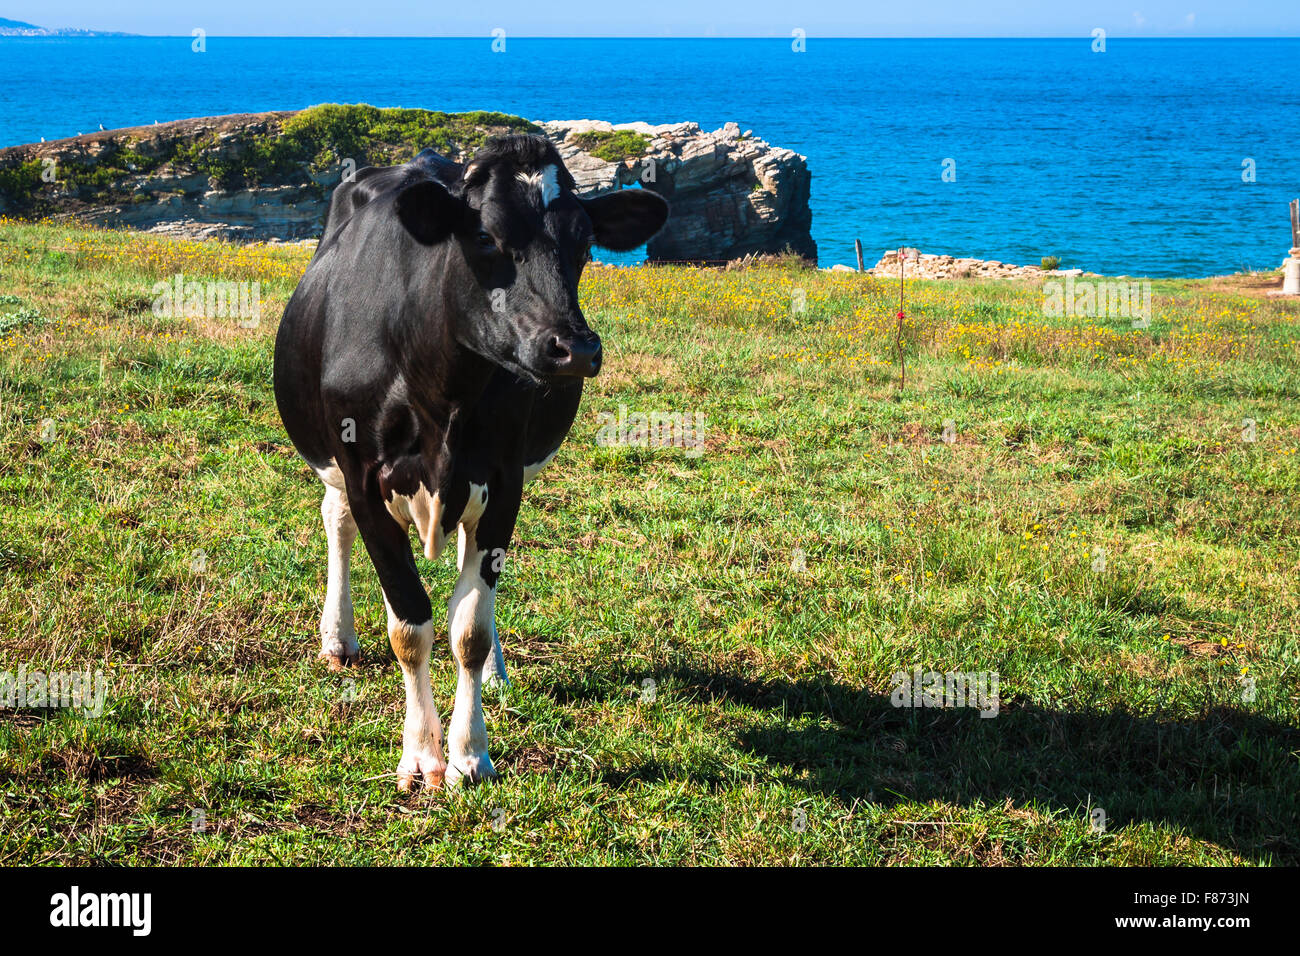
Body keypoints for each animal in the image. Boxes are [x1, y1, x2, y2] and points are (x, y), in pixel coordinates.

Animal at [273, 135, 668, 790]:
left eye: (585, 243)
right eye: (485, 236)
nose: (574, 348)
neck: (442, 390)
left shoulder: (504, 481)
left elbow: (469, 628)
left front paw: (469, 751)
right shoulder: (363, 476)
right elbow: (409, 626)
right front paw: (421, 756)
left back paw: (497, 674)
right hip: (333, 463)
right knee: (337, 522)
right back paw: (339, 637)